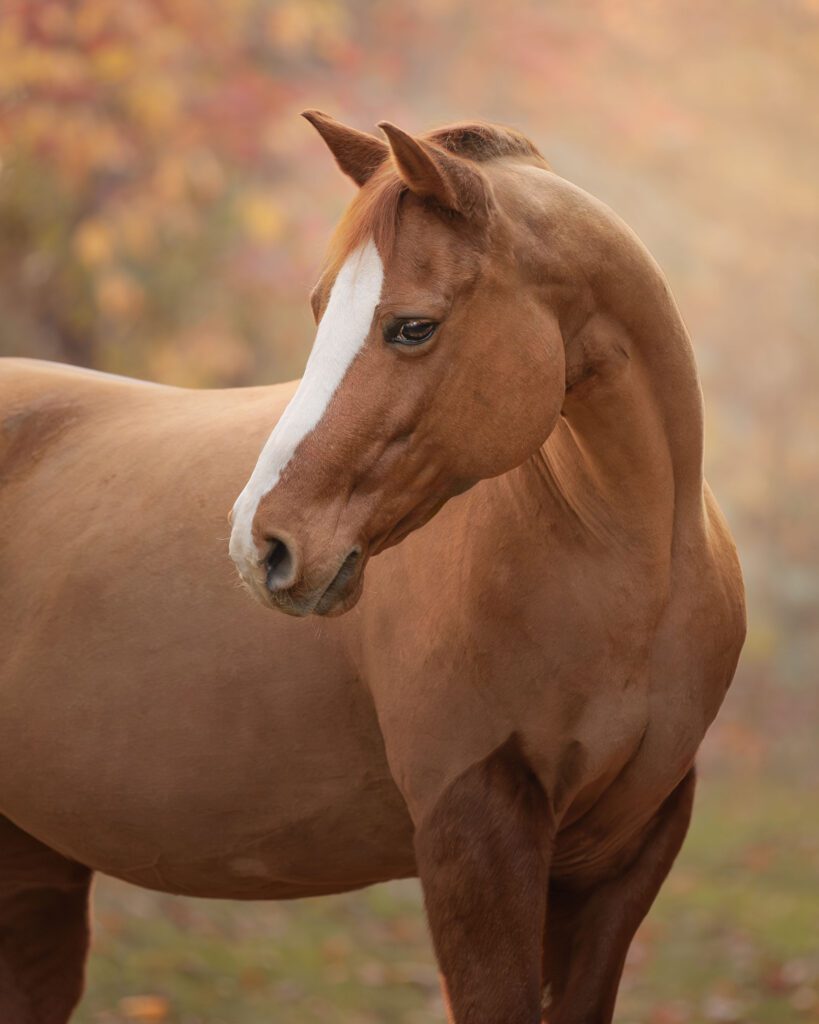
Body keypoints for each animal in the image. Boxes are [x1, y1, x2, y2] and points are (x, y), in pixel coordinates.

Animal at [0, 113, 745, 1024]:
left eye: (413, 327)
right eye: (322, 309)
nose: (262, 544)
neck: (637, 574)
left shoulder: (626, 857)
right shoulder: (473, 833)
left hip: (34, 863)